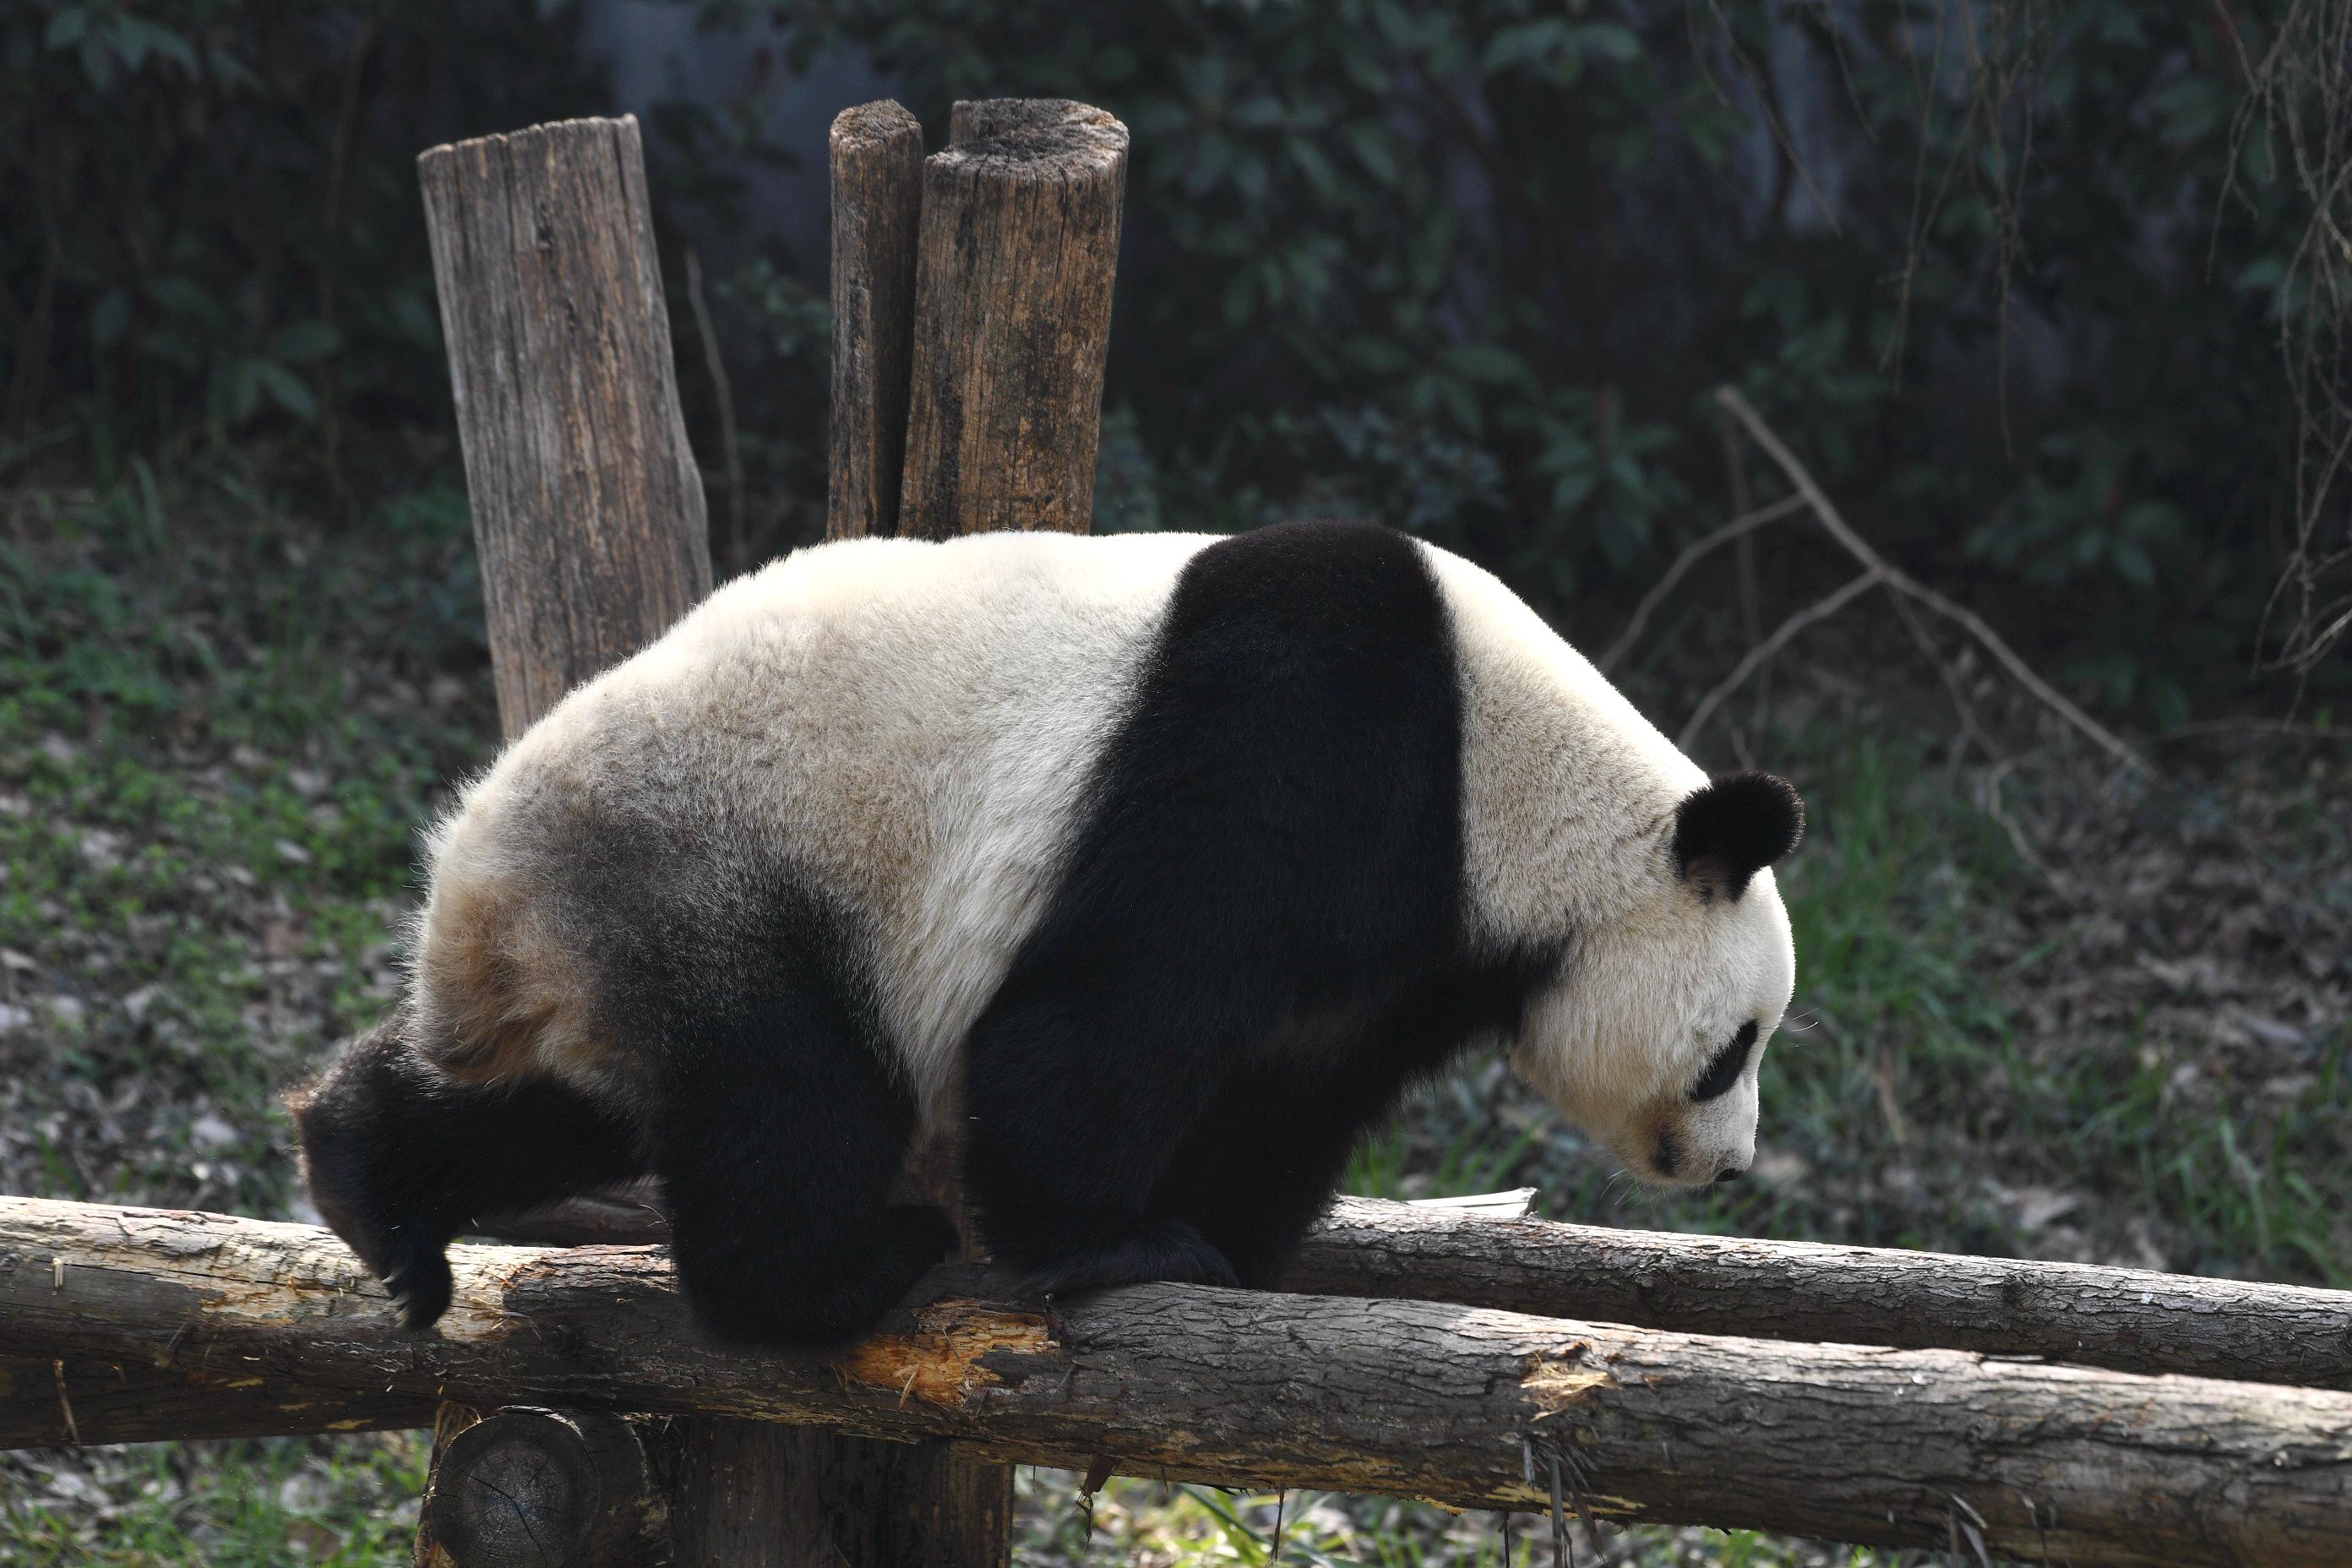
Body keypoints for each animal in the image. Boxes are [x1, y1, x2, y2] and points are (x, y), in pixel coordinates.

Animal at [290, 518, 1802, 1346]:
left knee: (564, 1106)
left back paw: (372, 1181)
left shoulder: (1393, 961)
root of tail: (473, 898)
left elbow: (1286, 1091)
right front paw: (1115, 1248)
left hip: (610, 937)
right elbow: (1102, 1017)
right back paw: (841, 1274)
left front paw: (1227, 1245)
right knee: (789, 1101)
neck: (1503, 787)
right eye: (1737, 1047)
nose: (1730, 1163)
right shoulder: (1302, 745)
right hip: (729, 867)